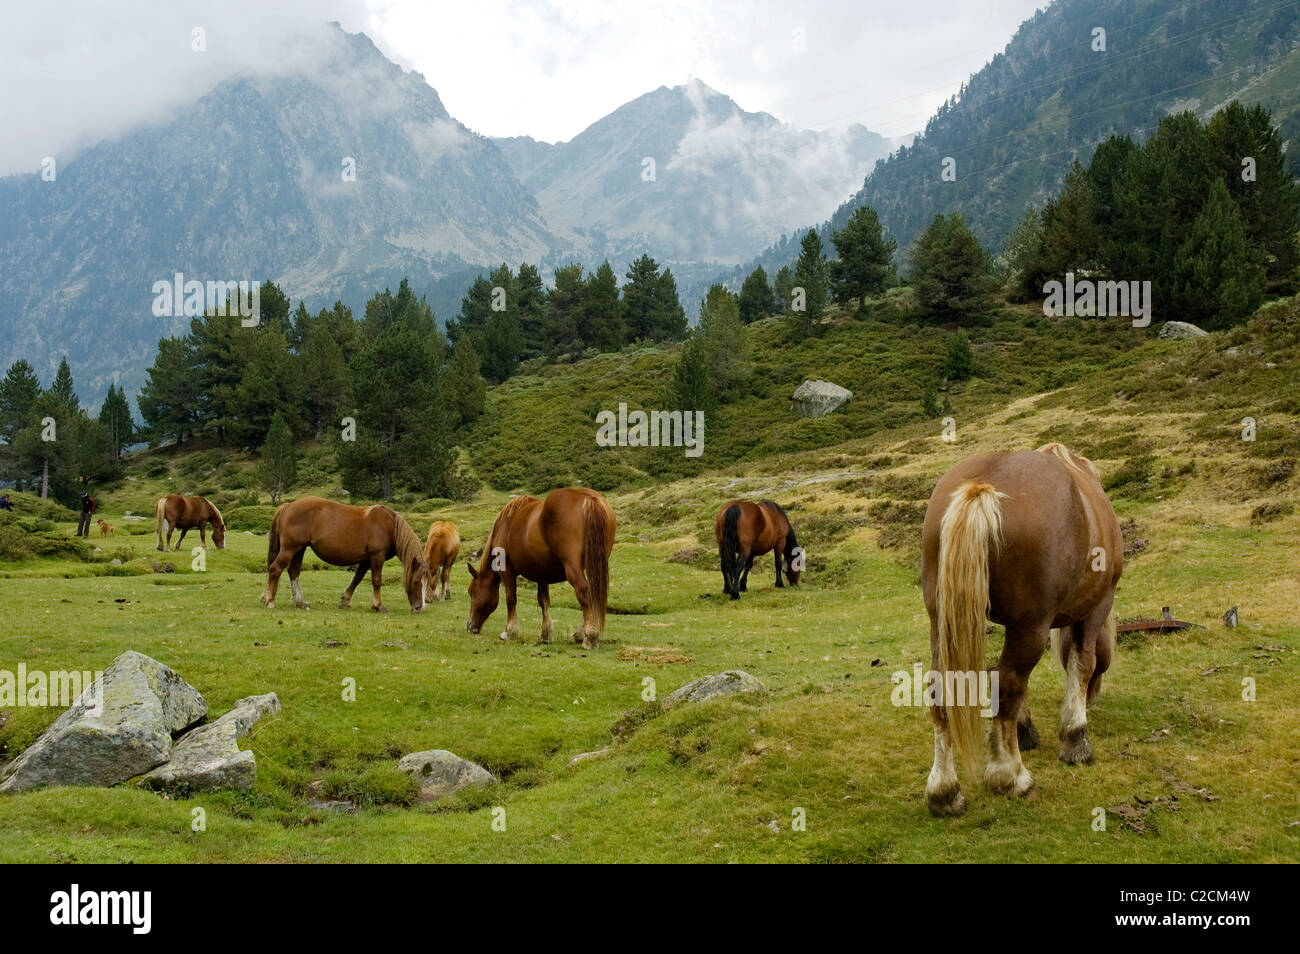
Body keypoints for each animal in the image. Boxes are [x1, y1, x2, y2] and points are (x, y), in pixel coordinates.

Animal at [261, 496, 430, 613]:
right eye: (416, 581)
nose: (419, 608)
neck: (389, 527)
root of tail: (288, 506)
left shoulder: (366, 560)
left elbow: (357, 579)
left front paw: (345, 600)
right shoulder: (377, 557)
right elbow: (376, 581)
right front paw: (378, 605)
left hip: (299, 549)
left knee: (293, 572)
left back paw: (299, 602)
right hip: (290, 548)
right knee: (276, 569)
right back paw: (270, 601)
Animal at [465, 488, 615, 648]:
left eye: (471, 592)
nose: (470, 626)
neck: (505, 525)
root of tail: (590, 499)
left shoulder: (507, 571)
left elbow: (511, 598)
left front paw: (510, 632)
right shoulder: (542, 574)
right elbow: (543, 601)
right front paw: (545, 633)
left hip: (572, 567)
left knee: (583, 591)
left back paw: (589, 636)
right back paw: (582, 633)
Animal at [920, 442, 1122, 817]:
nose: (1096, 697)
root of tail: (982, 487)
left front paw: (1023, 731)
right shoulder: (1095, 607)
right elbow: (1082, 663)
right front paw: (1075, 737)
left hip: (941, 622)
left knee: (942, 691)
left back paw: (945, 790)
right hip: (1031, 625)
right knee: (1010, 682)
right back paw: (1011, 776)